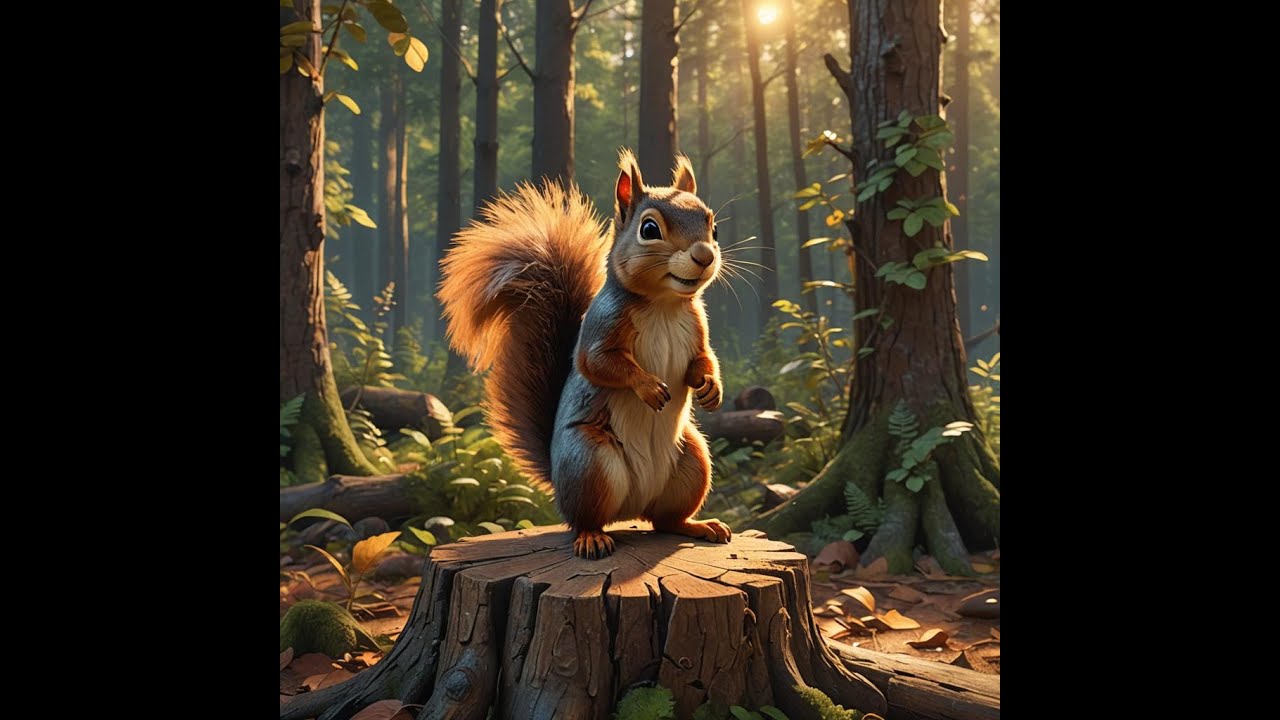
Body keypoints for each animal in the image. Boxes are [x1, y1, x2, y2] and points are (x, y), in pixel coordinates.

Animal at [437, 149, 730, 559]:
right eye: (649, 229)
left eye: (713, 229)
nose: (705, 255)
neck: (664, 305)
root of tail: (631, 509)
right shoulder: (601, 325)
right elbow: (598, 364)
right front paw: (648, 387)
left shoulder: (698, 329)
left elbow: (701, 361)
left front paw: (711, 388)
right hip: (589, 462)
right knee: (584, 519)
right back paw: (592, 538)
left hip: (693, 462)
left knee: (665, 521)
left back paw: (699, 526)